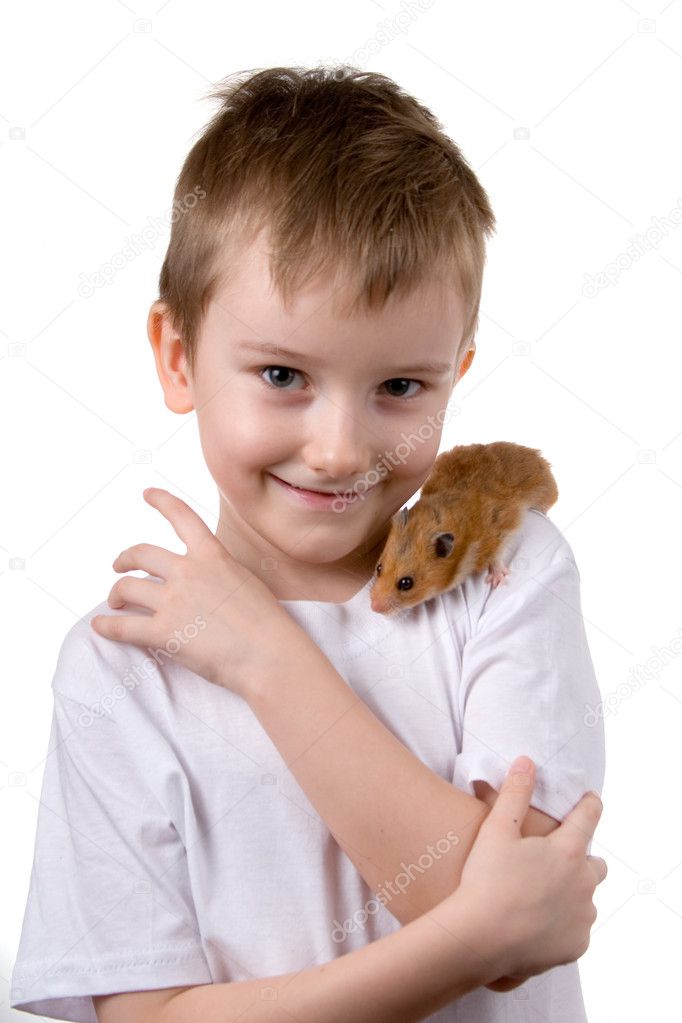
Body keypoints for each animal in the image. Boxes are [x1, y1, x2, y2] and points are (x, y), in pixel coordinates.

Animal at [369, 441, 559, 615]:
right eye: (378, 568)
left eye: (406, 583)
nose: (374, 607)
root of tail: (534, 454)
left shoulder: (503, 526)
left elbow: (496, 556)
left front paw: (496, 580)